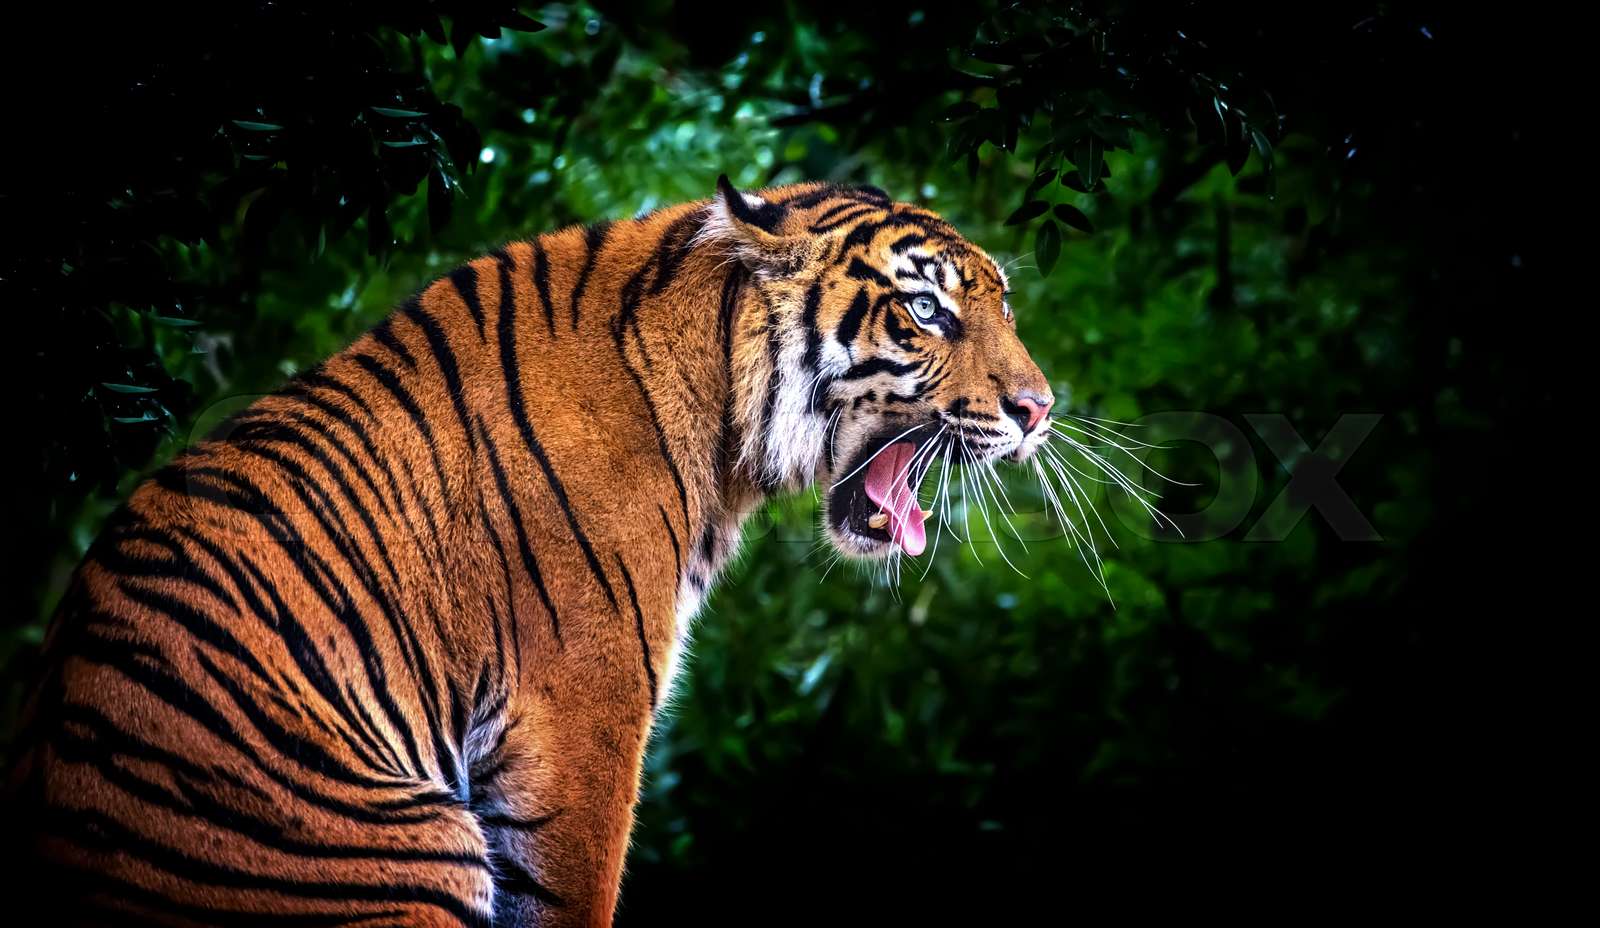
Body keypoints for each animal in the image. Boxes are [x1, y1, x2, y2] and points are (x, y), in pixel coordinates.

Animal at [6, 175, 1055, 926]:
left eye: (1005, 307)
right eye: (926, 311)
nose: (1041, 410)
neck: (722, 415)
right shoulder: (581, 709)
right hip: (409, 851)